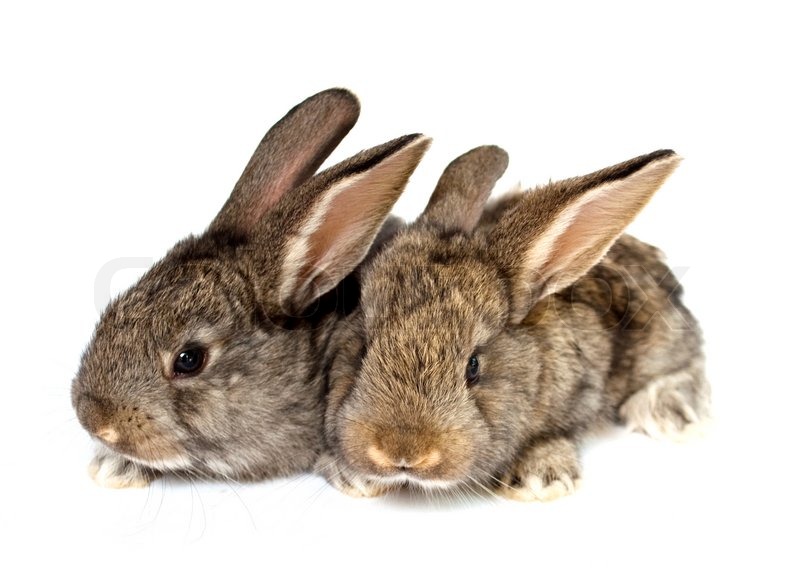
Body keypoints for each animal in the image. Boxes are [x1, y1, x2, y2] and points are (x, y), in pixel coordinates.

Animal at [318, 145, 710, 500]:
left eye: (473, 366)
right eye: (362, 349)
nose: (403, 454)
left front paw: (540, 478)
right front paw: (351, 477)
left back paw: (670, 412)